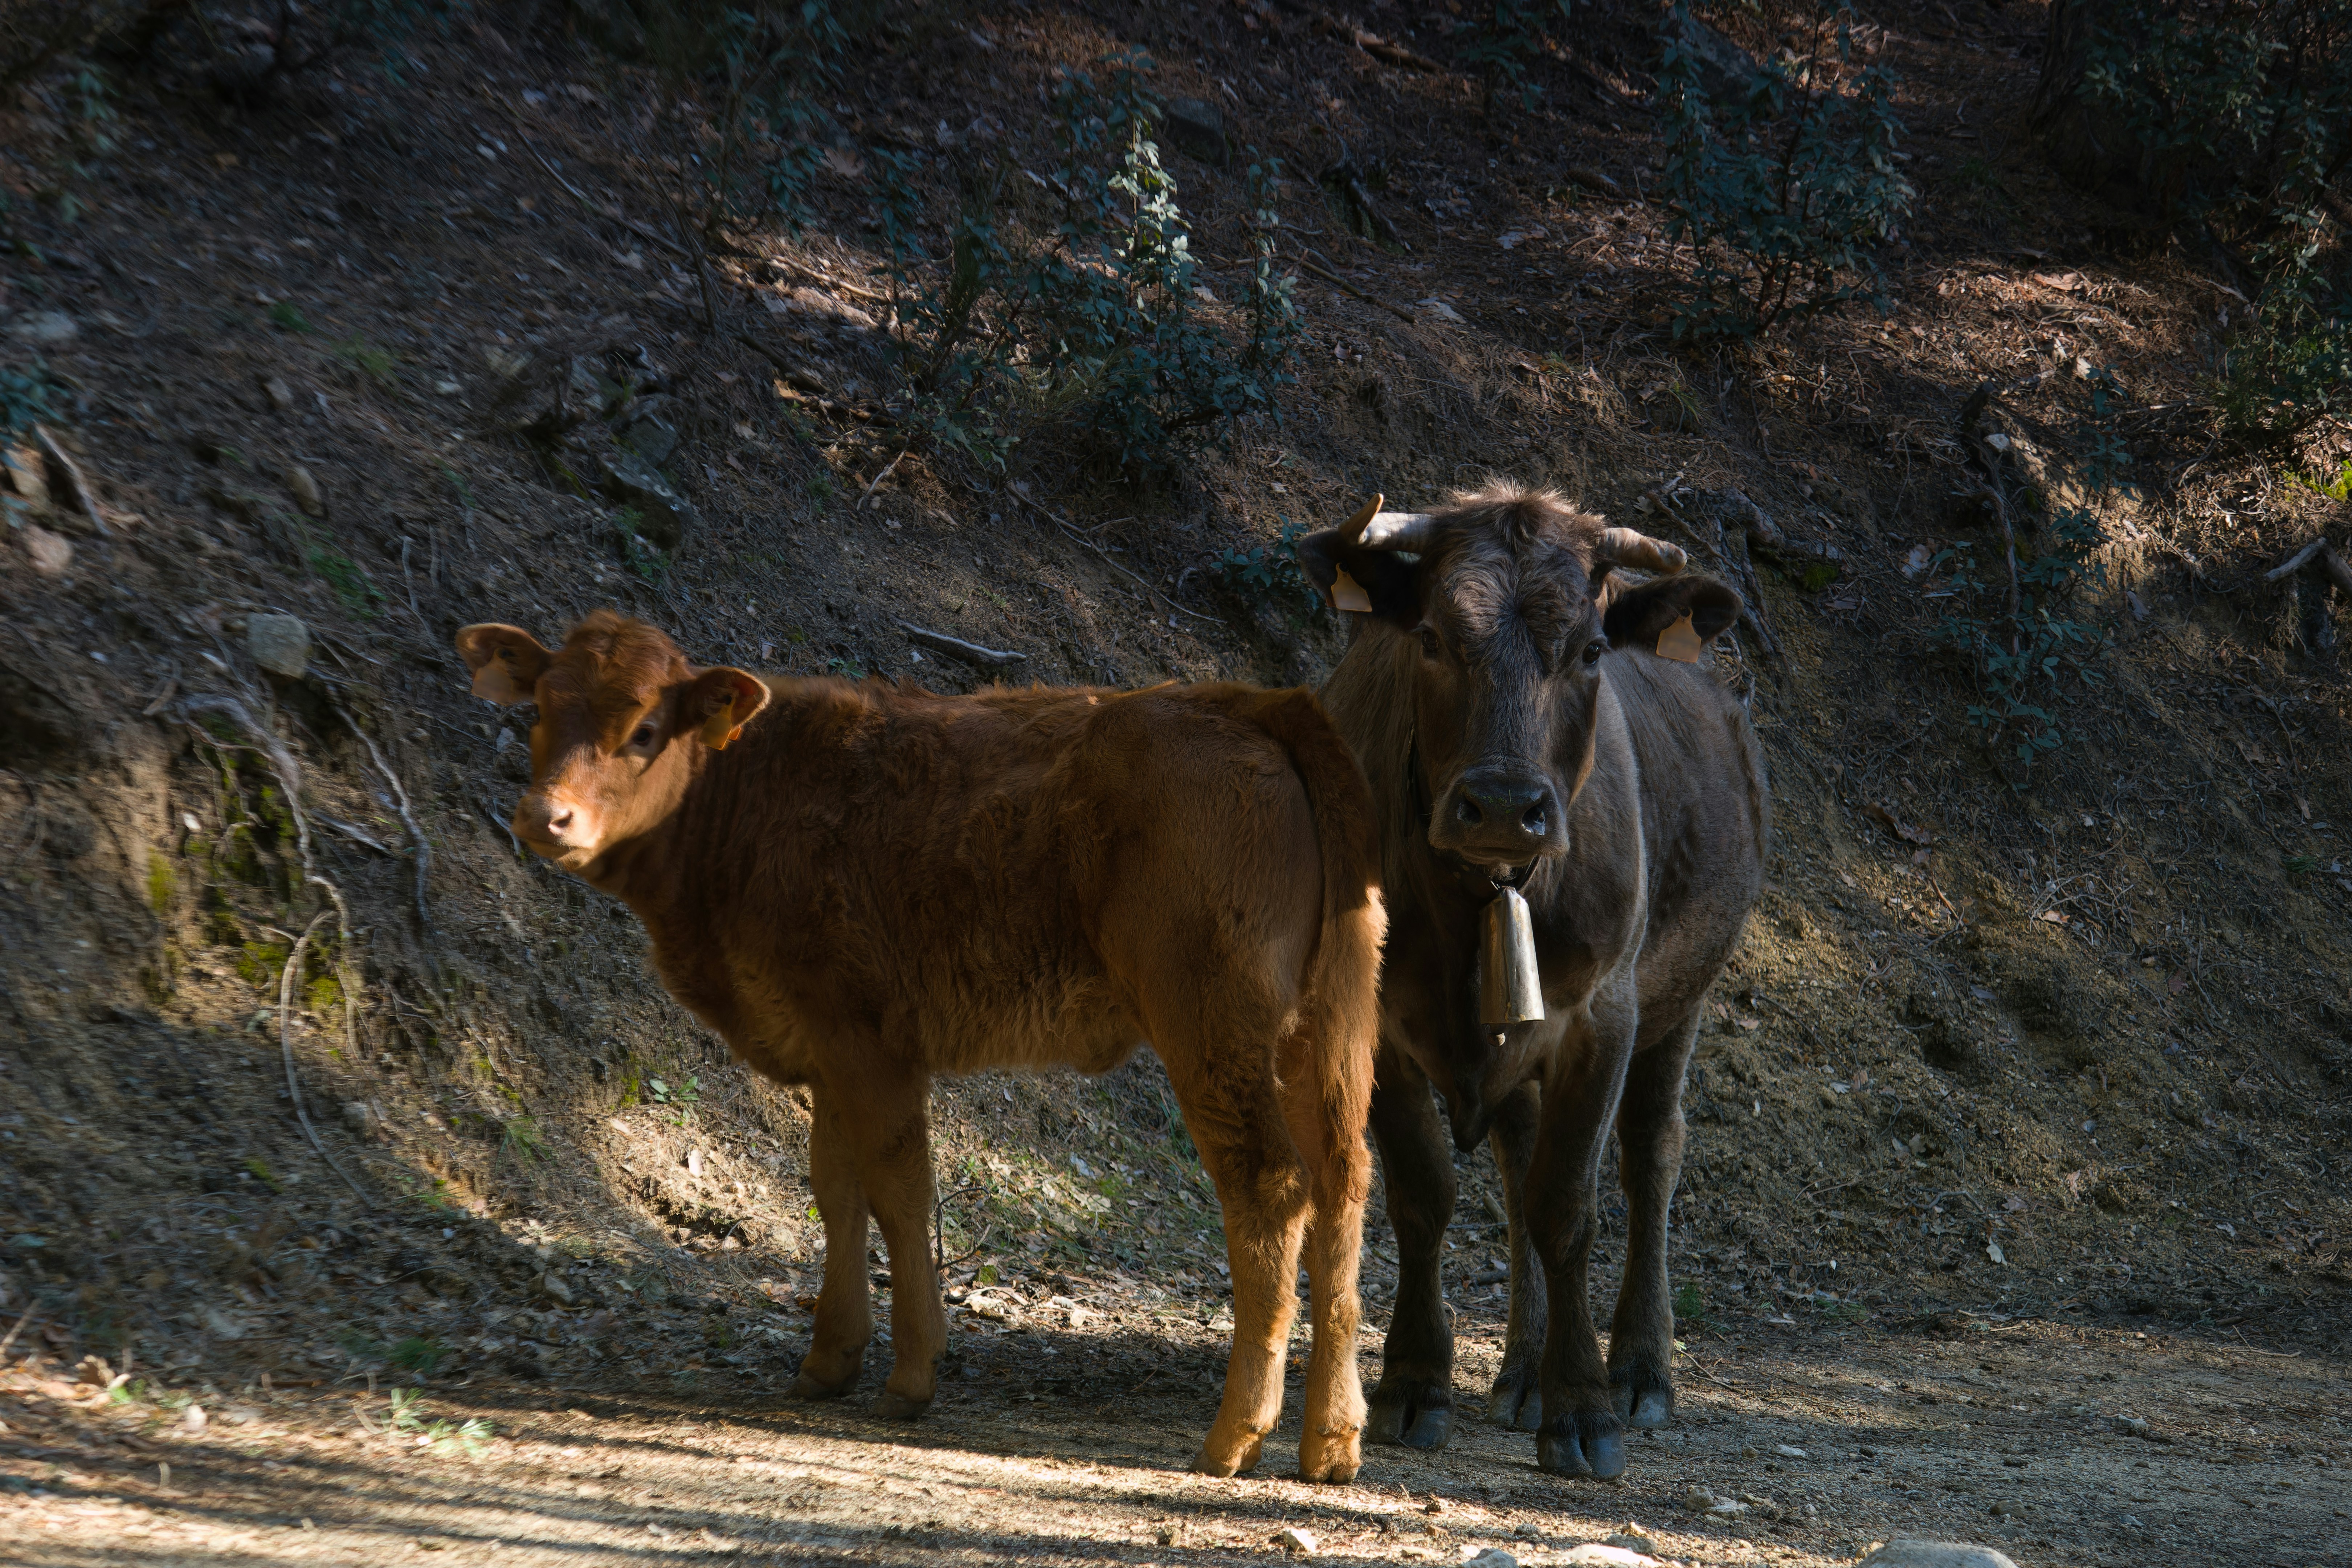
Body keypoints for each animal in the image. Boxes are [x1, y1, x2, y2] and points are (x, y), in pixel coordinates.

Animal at [452, 611, 1386, 1481]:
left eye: (645, 729)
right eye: (542, 707)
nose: (544, 815)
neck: (742, 796)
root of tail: (1242, 701)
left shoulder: (869, 1041)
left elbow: (898, 1192)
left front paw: (908, 1376)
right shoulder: (827, 1047)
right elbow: (834, 1188)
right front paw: (830, 1358)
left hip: (1210, 1019)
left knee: (1269, 1185)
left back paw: (1235, 1433)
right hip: (1323, 1030)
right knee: (1342, 1182)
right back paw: (1331, 1440)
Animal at [1292, 485, 1768, 1481]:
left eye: (1588, 651)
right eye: (1431, 636)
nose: (1506, 807)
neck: (1483, 893)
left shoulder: (1601, 1015)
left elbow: (1566, 1204)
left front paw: (1583, 1406)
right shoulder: (1374, 1019)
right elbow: (1427, 1193)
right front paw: (1414, 1381)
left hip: (1682, 1001)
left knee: (1650, 1155)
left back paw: (1638, 1368)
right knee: (1515, 1161)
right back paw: (1518, 1372)